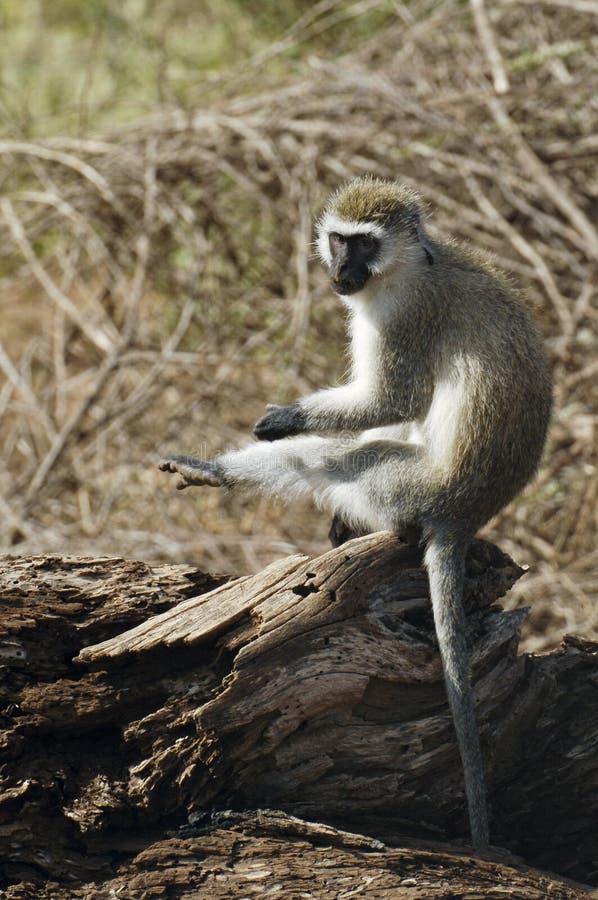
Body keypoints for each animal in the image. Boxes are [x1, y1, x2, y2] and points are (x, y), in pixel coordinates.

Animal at [159, 176, 552, 849]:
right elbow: (392, 408)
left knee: (336, 458)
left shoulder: (403, 319)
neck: (410, 265)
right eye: (341, 238)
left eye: (365, 244)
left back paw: (221, 472)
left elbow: (391, 399)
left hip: (403, 485)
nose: (342, 270)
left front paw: (284, 418)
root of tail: (463, 516)